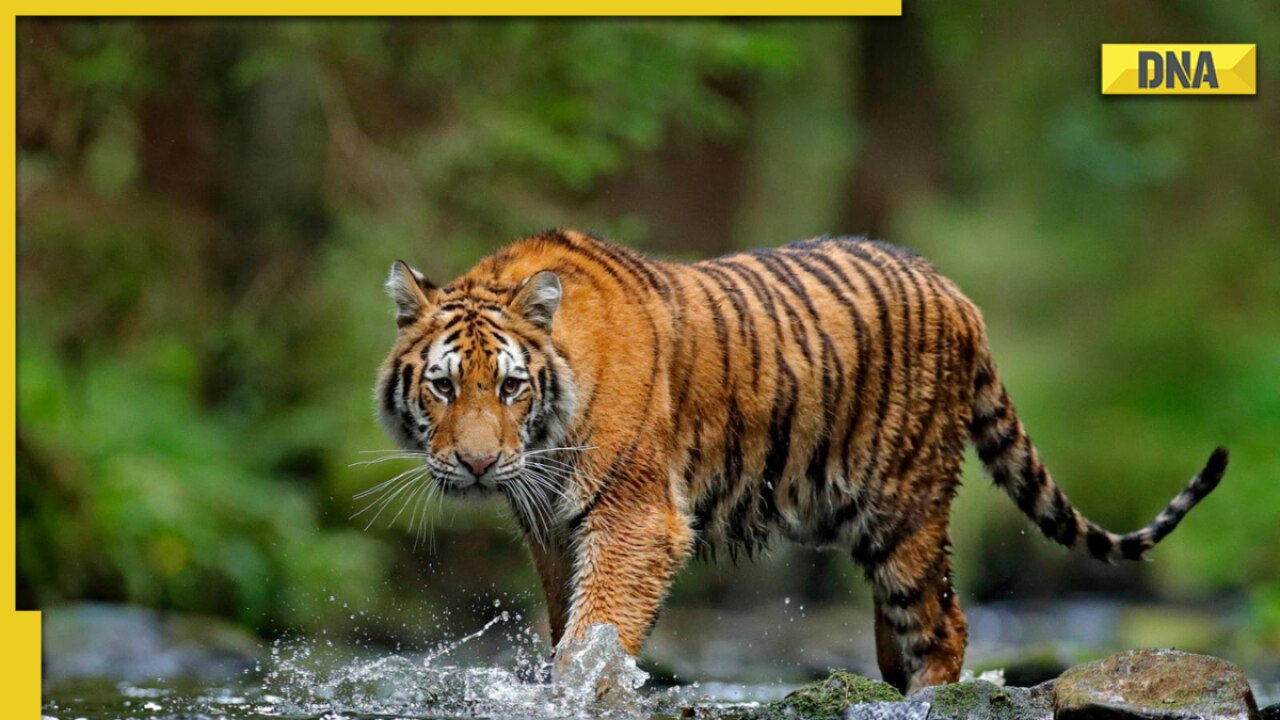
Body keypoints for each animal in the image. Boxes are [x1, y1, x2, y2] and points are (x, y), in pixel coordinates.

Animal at [374, 228, 1227, 694]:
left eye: (510, 386)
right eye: (443, 385)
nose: (477, 465)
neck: (544, 441)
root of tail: (956, 292)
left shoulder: (634, 519)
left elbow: (595, 634)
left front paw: (581, 690)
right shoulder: (552, 530)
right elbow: (568, 629)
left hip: (905, 506)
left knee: (944, 623)